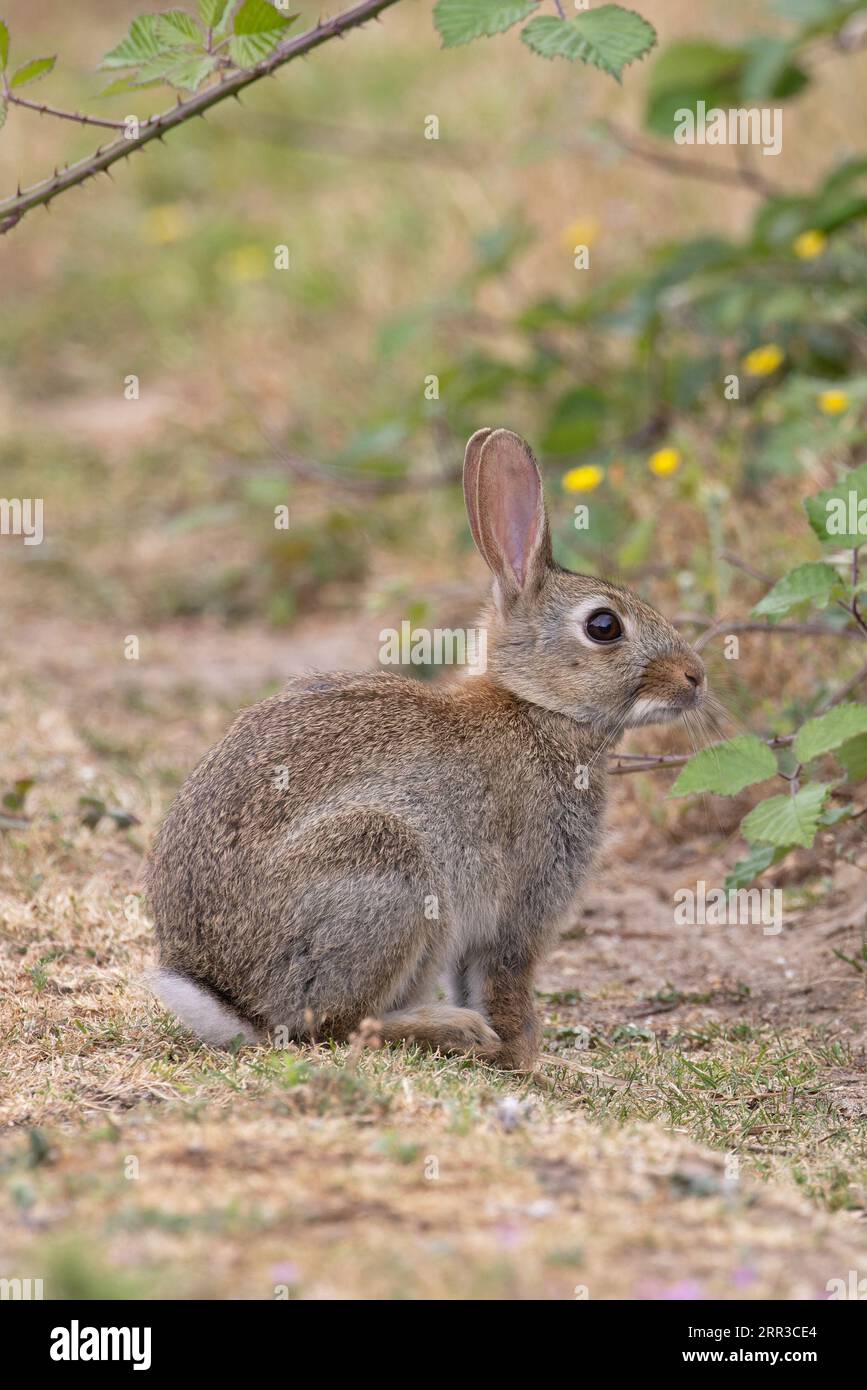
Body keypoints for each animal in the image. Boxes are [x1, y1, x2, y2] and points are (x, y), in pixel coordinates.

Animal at [148, 427, 706, 1069]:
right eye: (604, 627)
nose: (695, 677)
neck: (537, 709)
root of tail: (230, 1002)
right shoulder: (519, 912)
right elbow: (507, 987)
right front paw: (522, 1058)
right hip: (385, 869)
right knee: (335, 1025)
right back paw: (455, 1031)